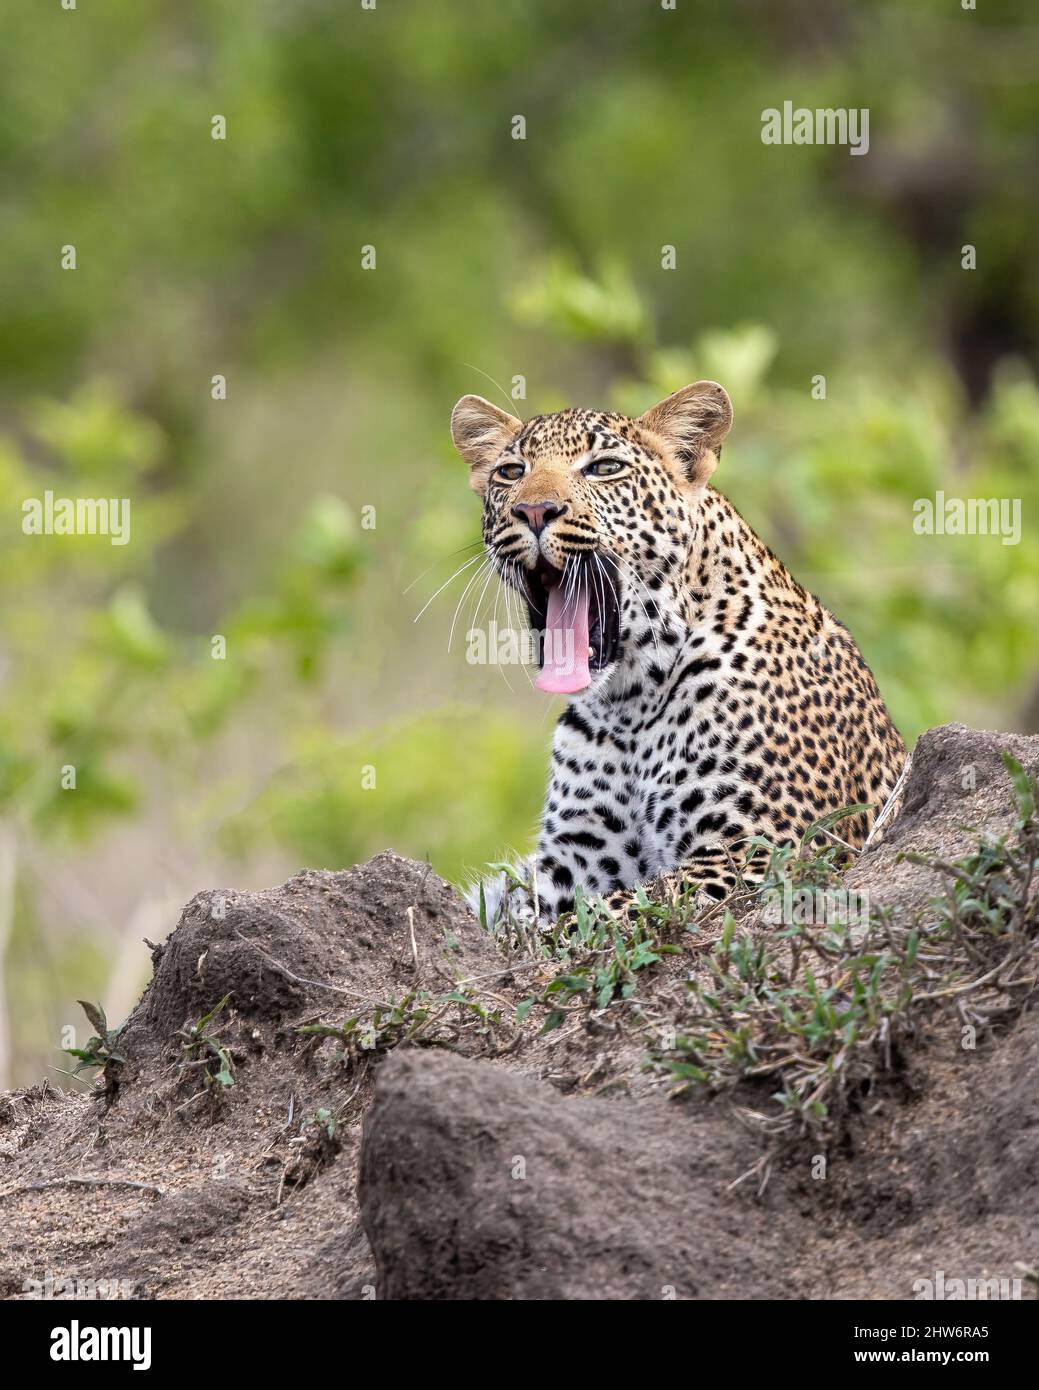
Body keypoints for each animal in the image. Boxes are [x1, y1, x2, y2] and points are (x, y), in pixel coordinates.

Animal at [450, 380, 907, 927]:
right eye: (511, 473)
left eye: (604, 468)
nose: (534, 511)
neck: (629, 702)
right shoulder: (574, 857)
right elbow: (526, 913)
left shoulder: (762, 848)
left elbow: (606, 912)